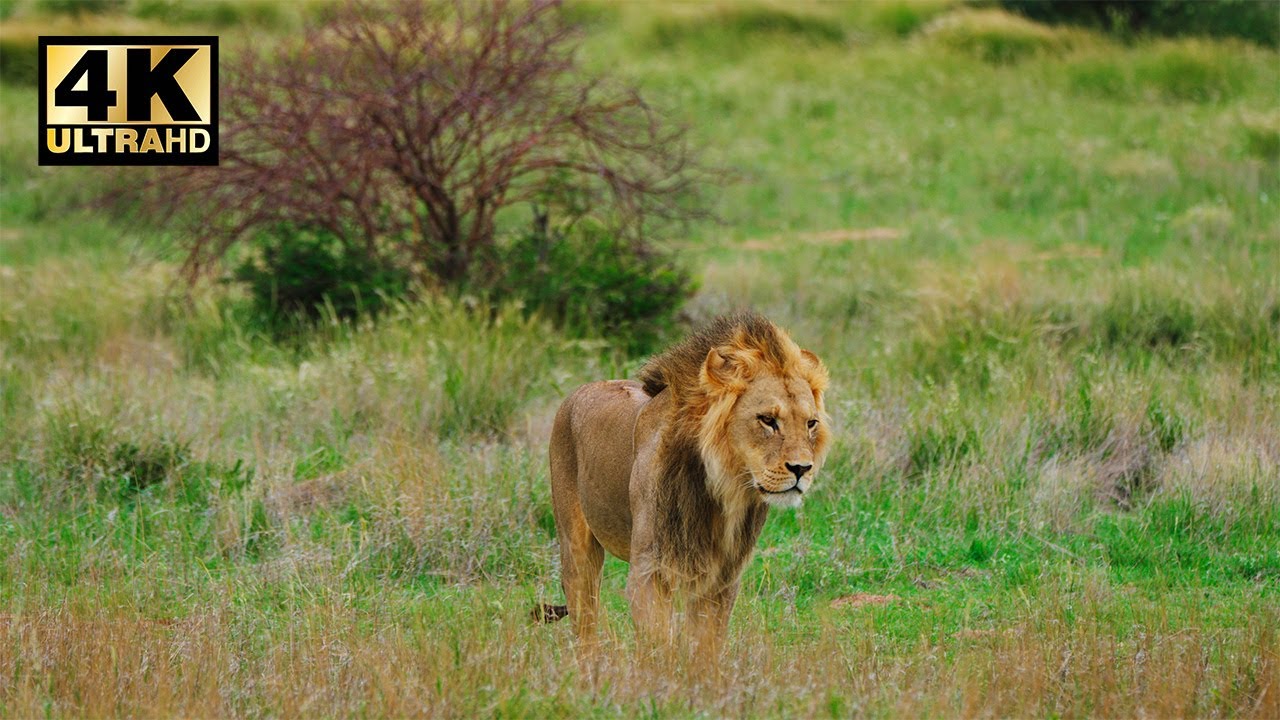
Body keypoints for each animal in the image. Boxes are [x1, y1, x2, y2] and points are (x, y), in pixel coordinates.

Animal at [543, 312, 831, 660]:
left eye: (811, 423)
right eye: (767, 420)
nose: (802, 468)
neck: (723, 491)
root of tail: (579, 391)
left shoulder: (721, 579)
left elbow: (706, 650)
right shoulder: (648, 571)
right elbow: (659, 647)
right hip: (576, 547)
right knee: (584, 621)